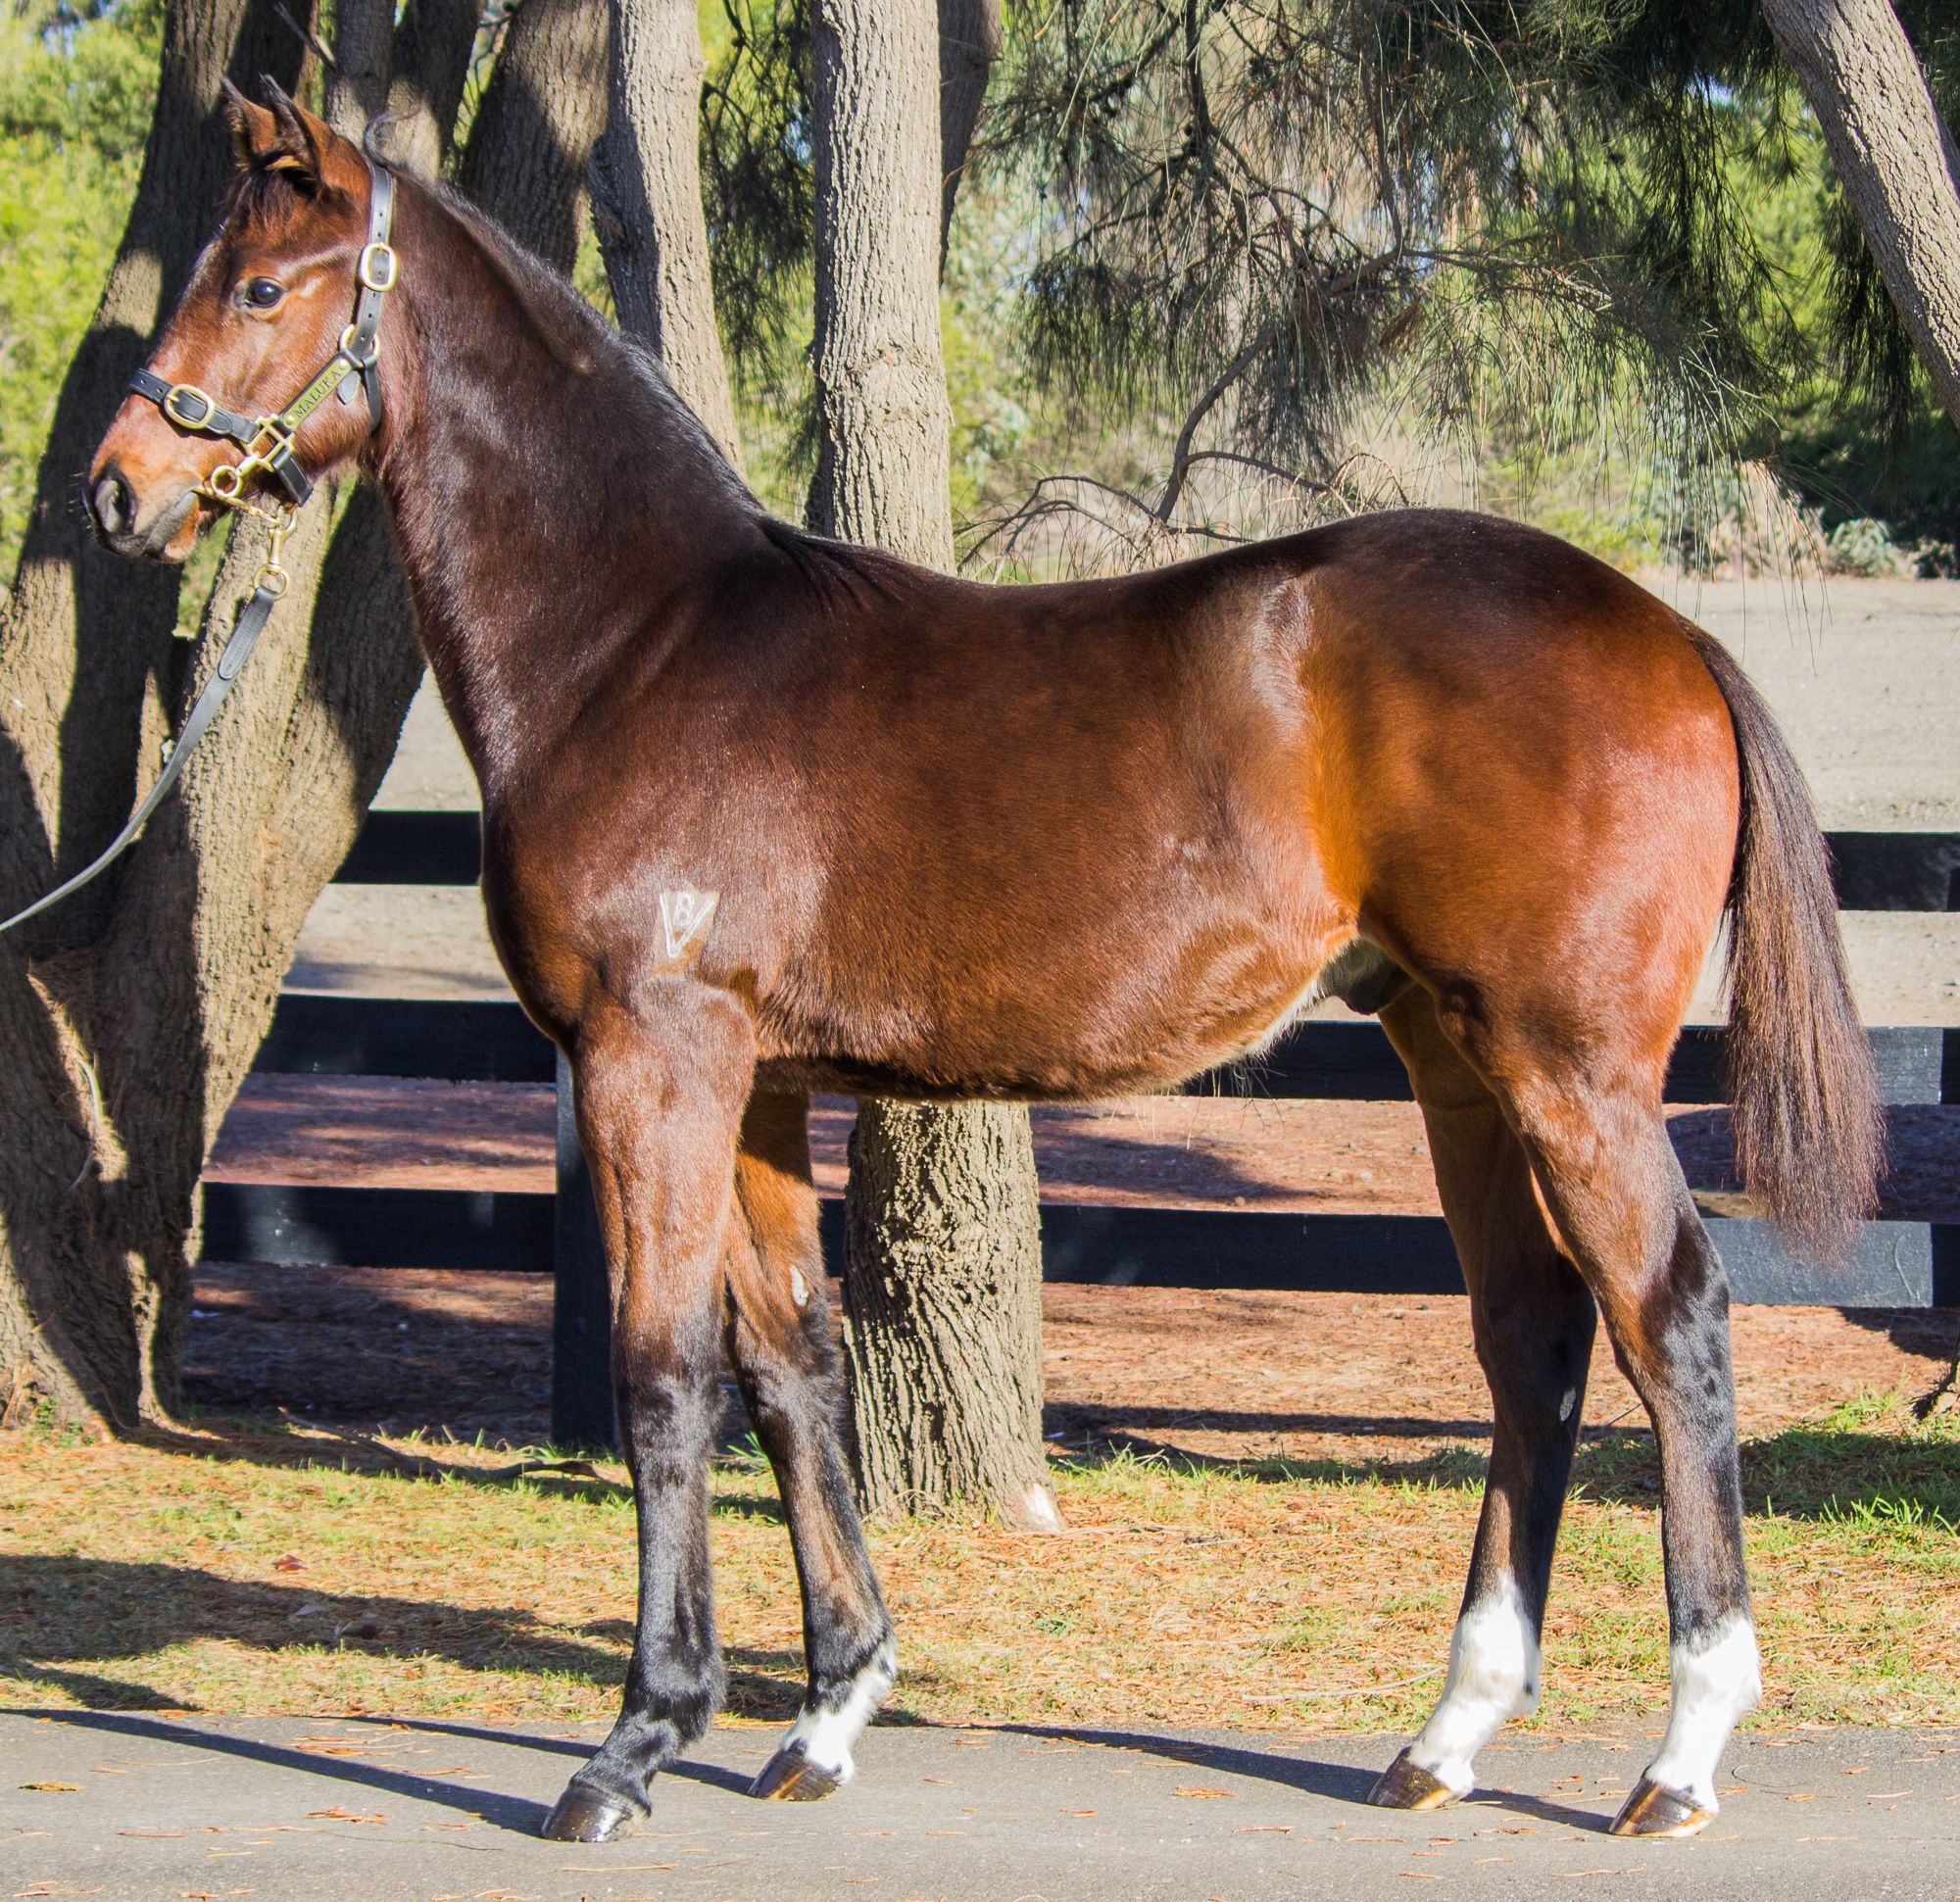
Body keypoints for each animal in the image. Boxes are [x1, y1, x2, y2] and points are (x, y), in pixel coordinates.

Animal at [84, 84, 1880, 1847]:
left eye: (261, 286)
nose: (115, 489)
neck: (640, 643)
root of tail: (1668, 630)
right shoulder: (755, 1083)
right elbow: (794, 1369)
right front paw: (825, 1713)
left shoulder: (651, 1060)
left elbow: (663, 1379)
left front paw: (634, 1746)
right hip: (1454, 1058)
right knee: (1533, 1337)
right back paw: (1446, 1735)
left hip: (1570, 1070)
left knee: (1674, 1324)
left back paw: (1681, 1753)